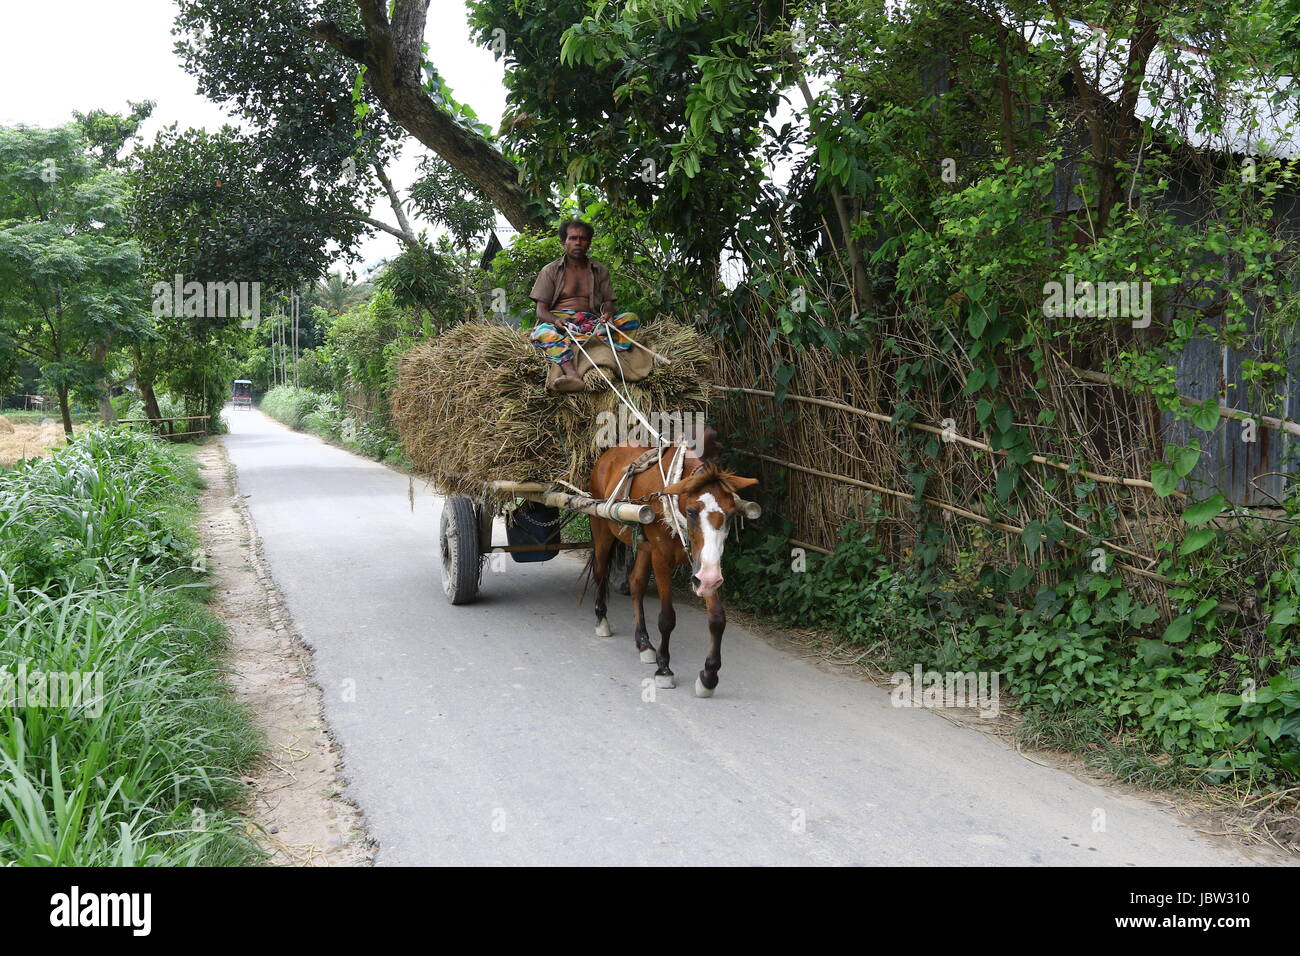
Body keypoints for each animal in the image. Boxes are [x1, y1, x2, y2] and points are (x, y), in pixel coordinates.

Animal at [586, 439, 757, 698]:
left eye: (730, 515)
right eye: (692, 511)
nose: (709, 579)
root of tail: (609, 453)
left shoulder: (703, 565)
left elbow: (717, 618)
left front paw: (709, 676)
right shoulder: (661, 558)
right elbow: (667, 618)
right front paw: (664, 669)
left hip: (644, 548)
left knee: (636, 583)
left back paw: (643, 643)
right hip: (602, 527)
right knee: (600, 571)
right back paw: (602, 621)